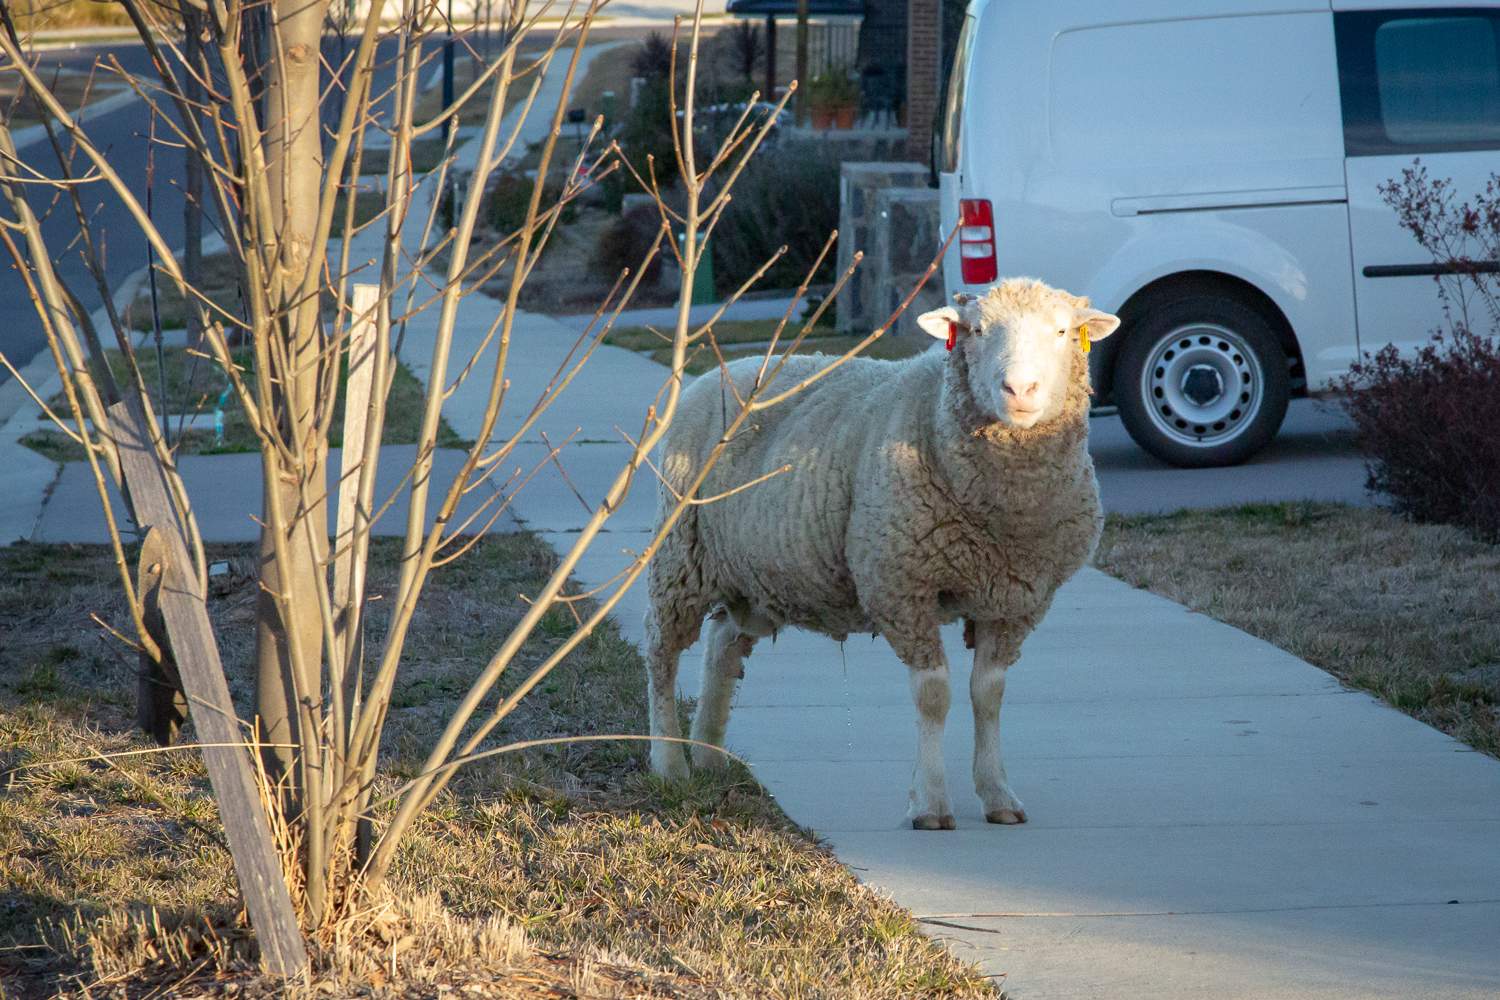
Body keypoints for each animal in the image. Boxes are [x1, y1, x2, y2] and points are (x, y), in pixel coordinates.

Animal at [643, 278, 1120, 830]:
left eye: (1062, 331)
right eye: (977, 330)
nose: (1020, 390)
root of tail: (720, 374)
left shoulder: (1015, 600)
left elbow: (989, 695)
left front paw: (998, 795)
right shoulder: (901, 585)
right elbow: (934, 696)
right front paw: (930, 803)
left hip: (756, 578)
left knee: (722, 646)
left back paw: (710, 755)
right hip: (681, 554)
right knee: (662, 652)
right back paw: (670, 763)